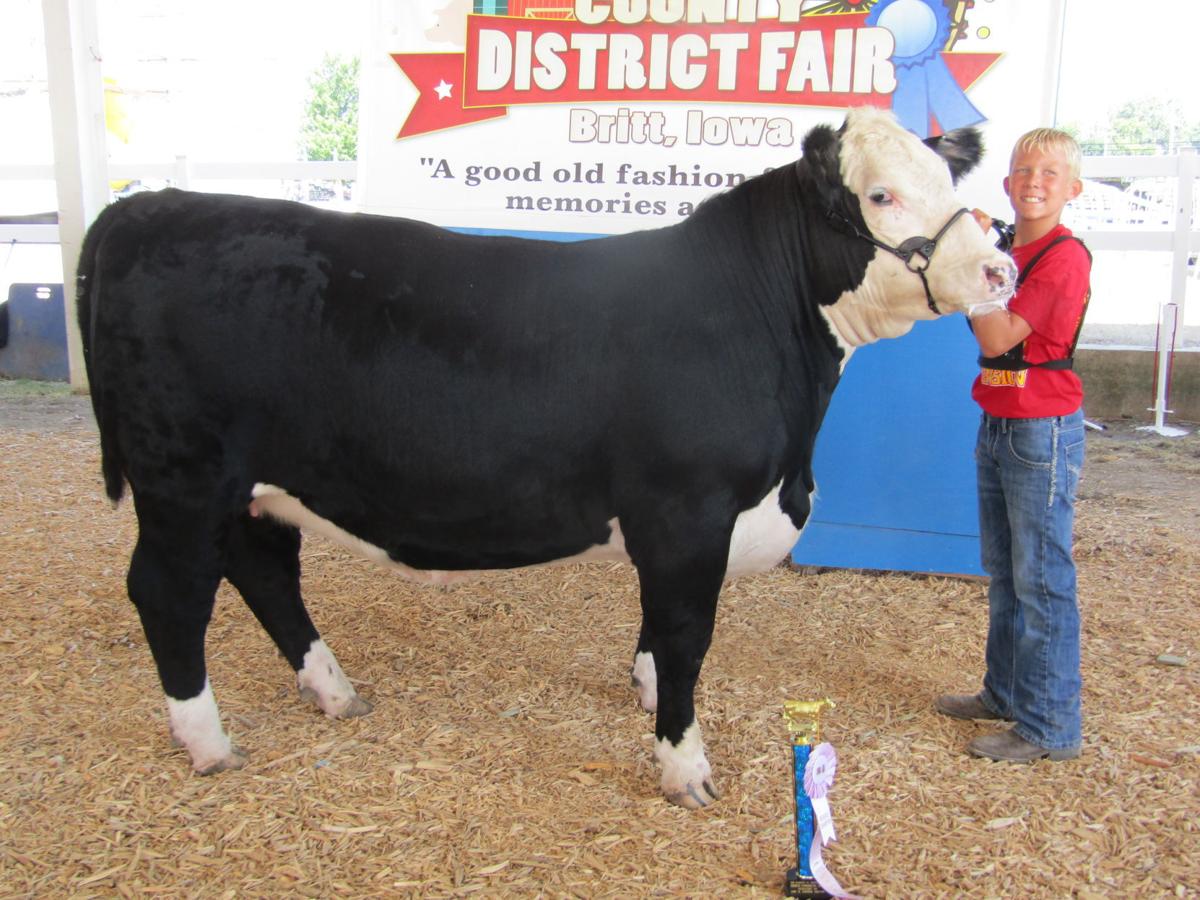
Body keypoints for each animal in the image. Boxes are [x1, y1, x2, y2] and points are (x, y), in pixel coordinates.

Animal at [76, 107, 1015, 808]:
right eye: (881, 195)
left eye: (953, 187)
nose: (997, 268)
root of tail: (150, 204)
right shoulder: (689, 509)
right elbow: (686, 635)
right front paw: (684, 766)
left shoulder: (676, 523)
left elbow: (656, 629)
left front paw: (645, 694)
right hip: (183, 477)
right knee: (169, 592)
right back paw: (208, 741)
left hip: (253, 483)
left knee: (264, 570)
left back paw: (333, 692)